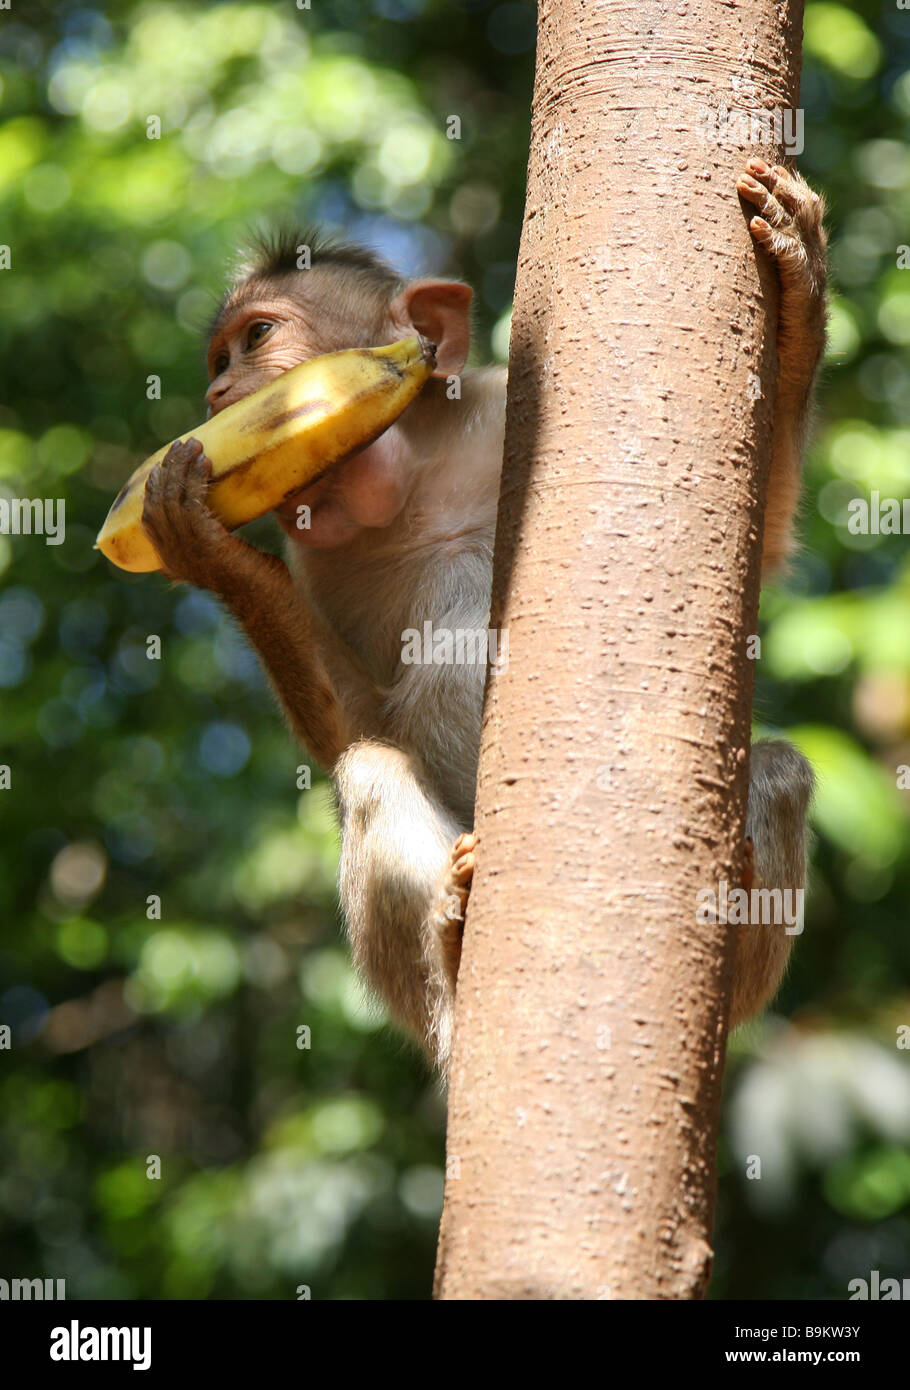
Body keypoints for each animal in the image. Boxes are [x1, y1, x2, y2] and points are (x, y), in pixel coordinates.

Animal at [140, 158, 826, 1074]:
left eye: (254, 339)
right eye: (219, 359)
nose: (217, 391)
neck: (416, 473)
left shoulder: (505, 411)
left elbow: (764, 541)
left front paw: (799, 289)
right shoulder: (316, 554)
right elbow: (357, 722)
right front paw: (213, 552)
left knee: (781, 768)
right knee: (372, 772)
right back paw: (456, 957)